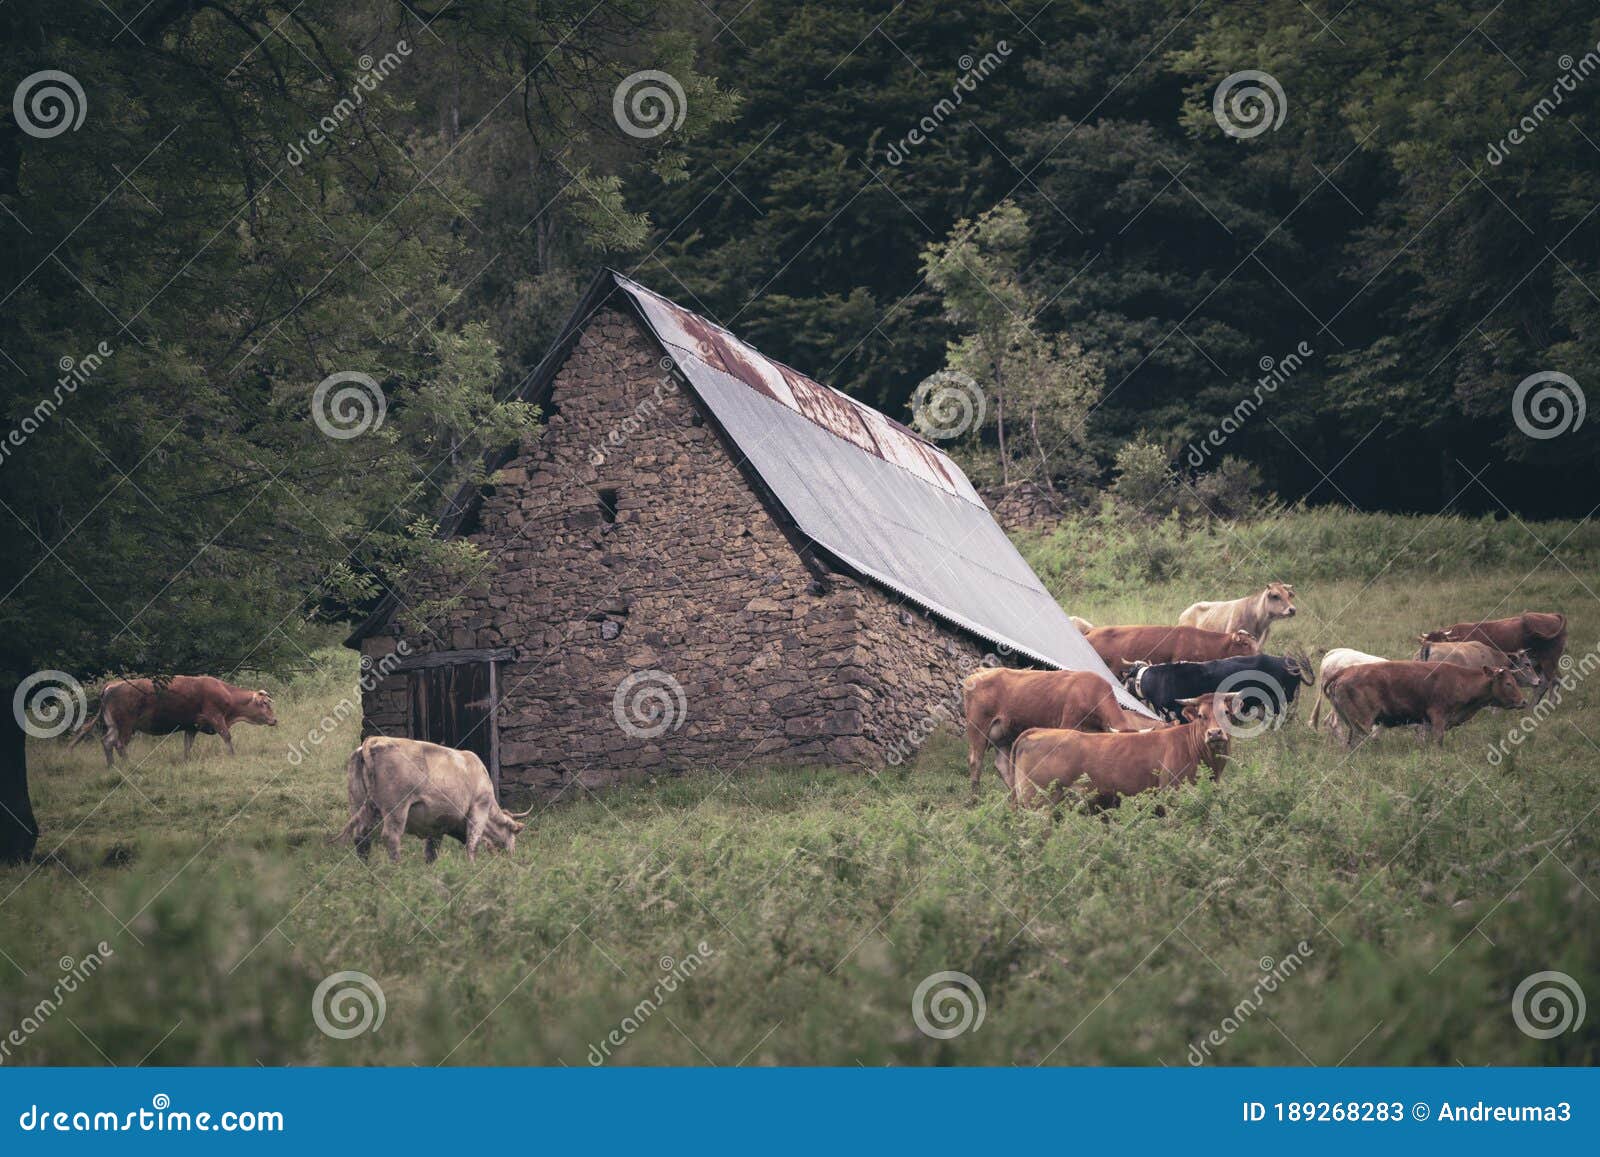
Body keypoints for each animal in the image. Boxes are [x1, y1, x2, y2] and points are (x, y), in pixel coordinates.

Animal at [69, 675, 278, 767]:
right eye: (265, 703)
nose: (274, 720)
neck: (226, 693)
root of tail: (111, 685)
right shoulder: (216, 717)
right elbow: (227, 736)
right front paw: (232, 755)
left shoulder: (191, 726)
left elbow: (187, 745)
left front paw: (186, 760)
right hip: (126, 726)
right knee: (119, 744)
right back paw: (128, 765)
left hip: (114, 726)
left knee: (107, 742)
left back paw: (111, 766)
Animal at [332, 736, 532, 863]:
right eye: (513, 835)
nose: (512, 856)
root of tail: (373, 740)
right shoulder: (478, 809)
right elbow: (472, 844)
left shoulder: (435, 825)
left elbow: (431, 853)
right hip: (396, 810)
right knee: (391, 837)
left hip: (358, 804)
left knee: (361, 836)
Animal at [961, 667, 1155, 799]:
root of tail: (981, 671)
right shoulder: (1067, 724)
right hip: (977, 726)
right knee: (975, 760)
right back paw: (975, 798)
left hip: (1003, 735)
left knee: (1002, 766)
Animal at [1323, 662, 1524, 748]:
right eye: (1508, 683)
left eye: (1515, 681)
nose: (1524, 701)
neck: (1460, 679)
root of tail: (1344, 672)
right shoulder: (1438, 716)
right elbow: (1439, 740)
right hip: (1362, 722)